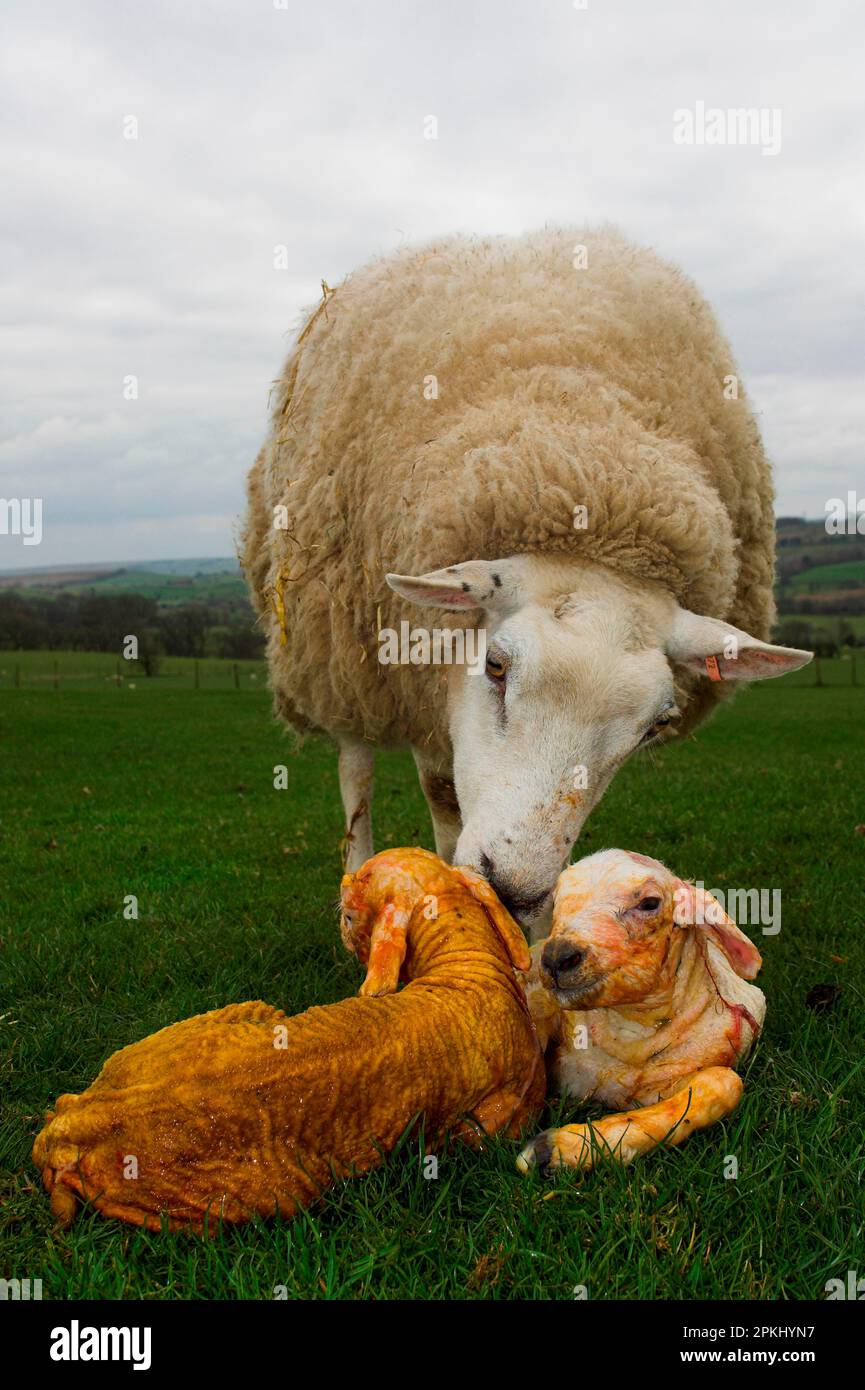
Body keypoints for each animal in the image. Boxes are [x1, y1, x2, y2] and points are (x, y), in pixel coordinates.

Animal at [242, 228, 811, 932]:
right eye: (496, 666)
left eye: (657, 724)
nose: (511, 891)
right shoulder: (420, 671)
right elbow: (441, 793)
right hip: (338, 649)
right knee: (358, 771)